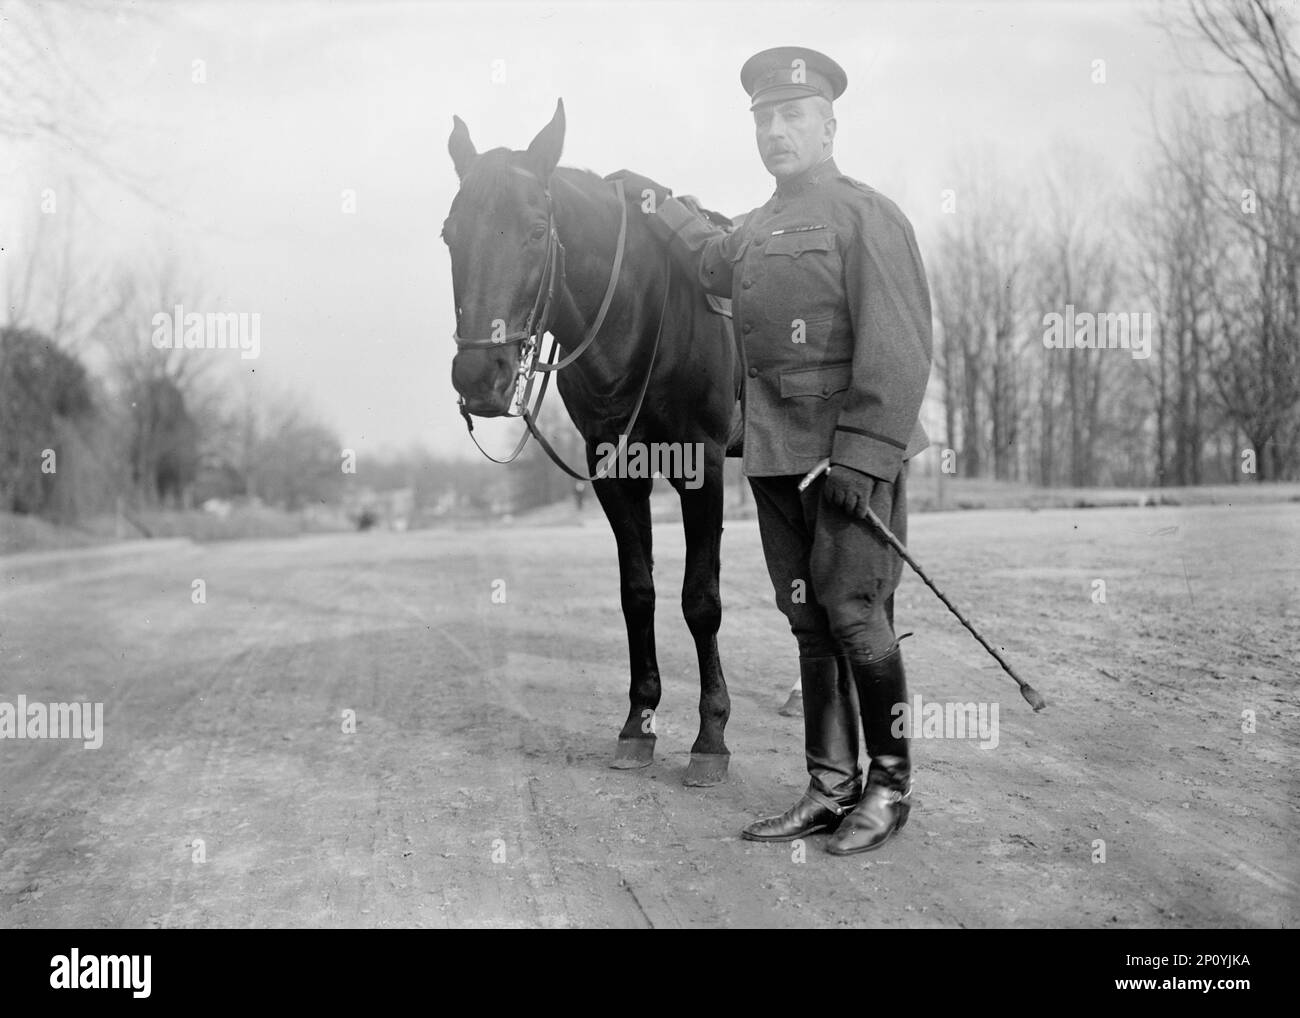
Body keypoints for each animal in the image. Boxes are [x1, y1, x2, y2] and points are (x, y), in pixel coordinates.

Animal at [444, 101, 743, 790]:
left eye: (535, 230)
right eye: (449, 233)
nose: (478, 375)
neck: (644, 309)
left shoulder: (704, 463)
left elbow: (701, 600)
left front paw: (711, 734)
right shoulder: (613, 468)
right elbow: (638, 592)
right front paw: (640, 722)